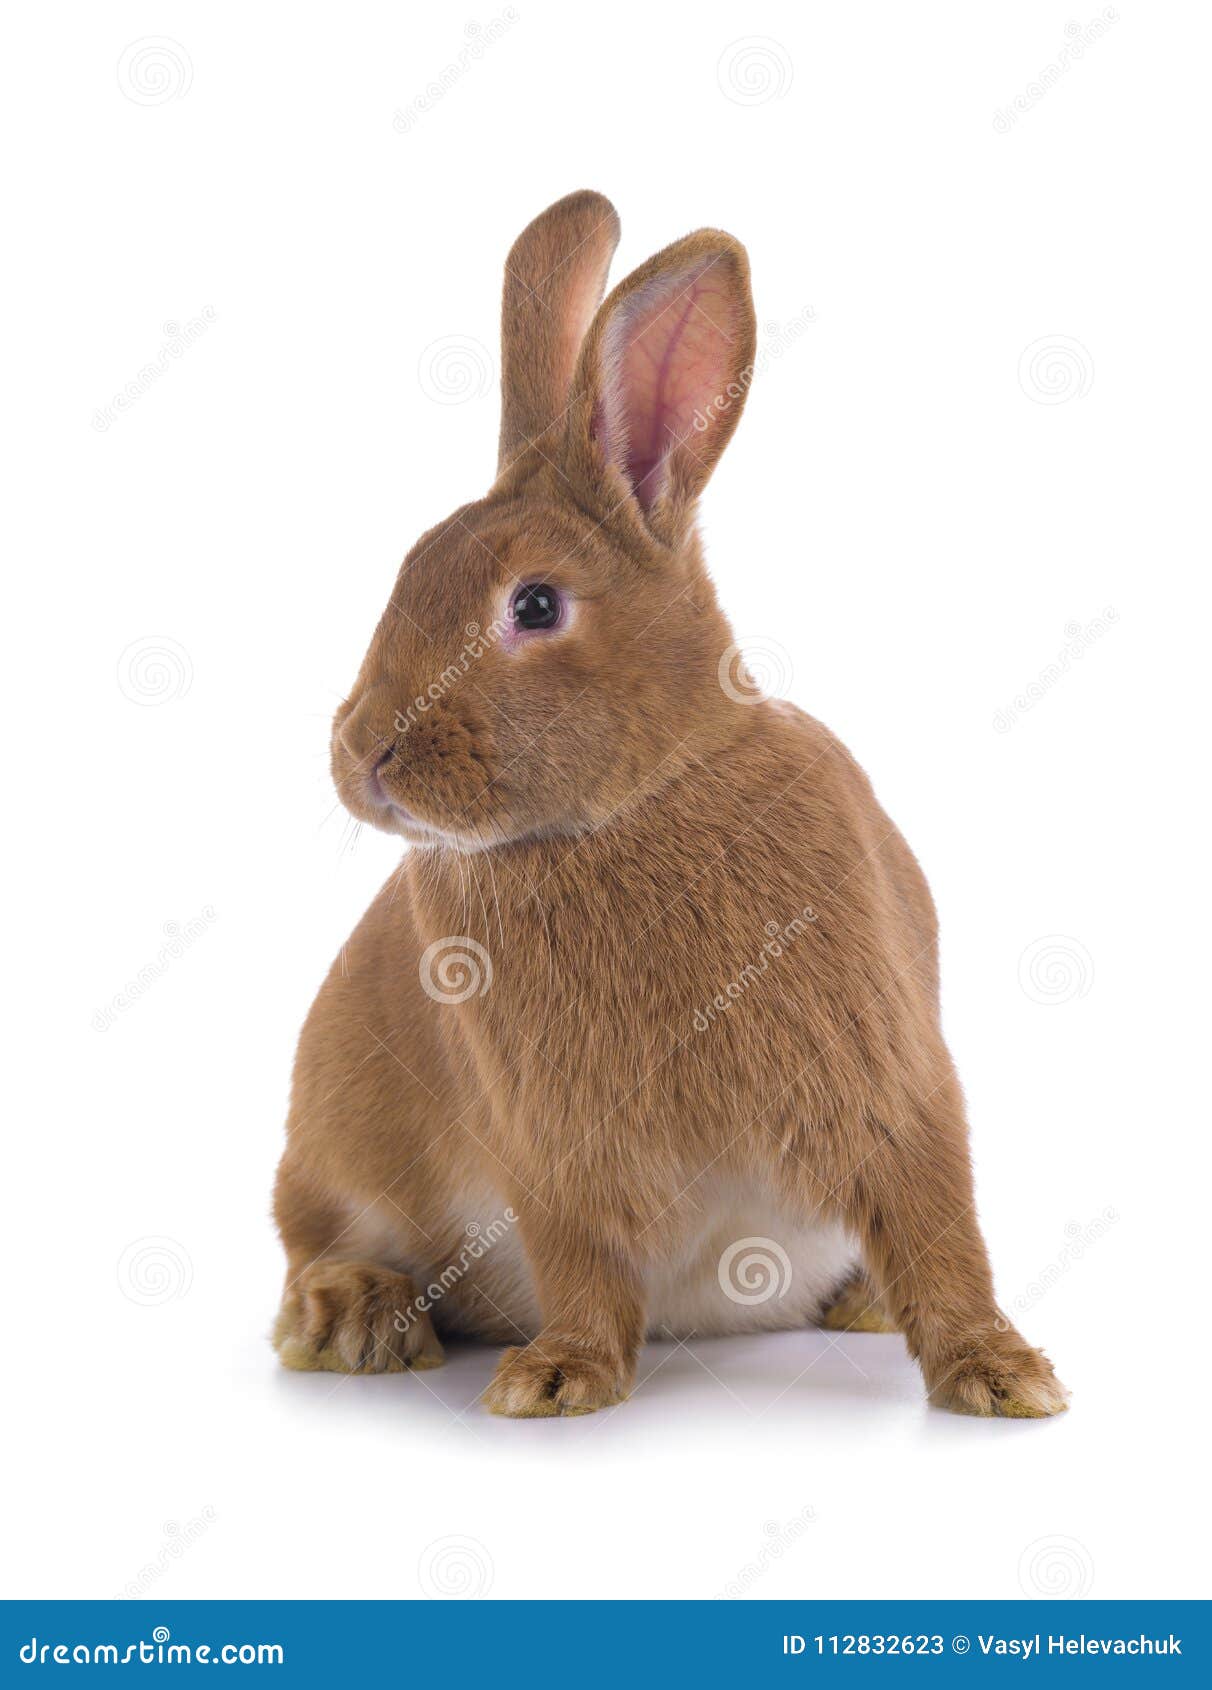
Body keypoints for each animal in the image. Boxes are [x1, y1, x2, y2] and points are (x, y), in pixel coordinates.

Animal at [272, 190, 1067, 1420]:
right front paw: (558, 1381)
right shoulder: (550, 1151)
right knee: (309, 1239)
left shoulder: (895, 1086)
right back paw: (354, 1315)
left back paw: (860, 1307)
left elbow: (942, 1234)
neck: (635, 803)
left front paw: (1003, 1377)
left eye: (535, 605)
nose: (366, 755)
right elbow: (584, 1267)